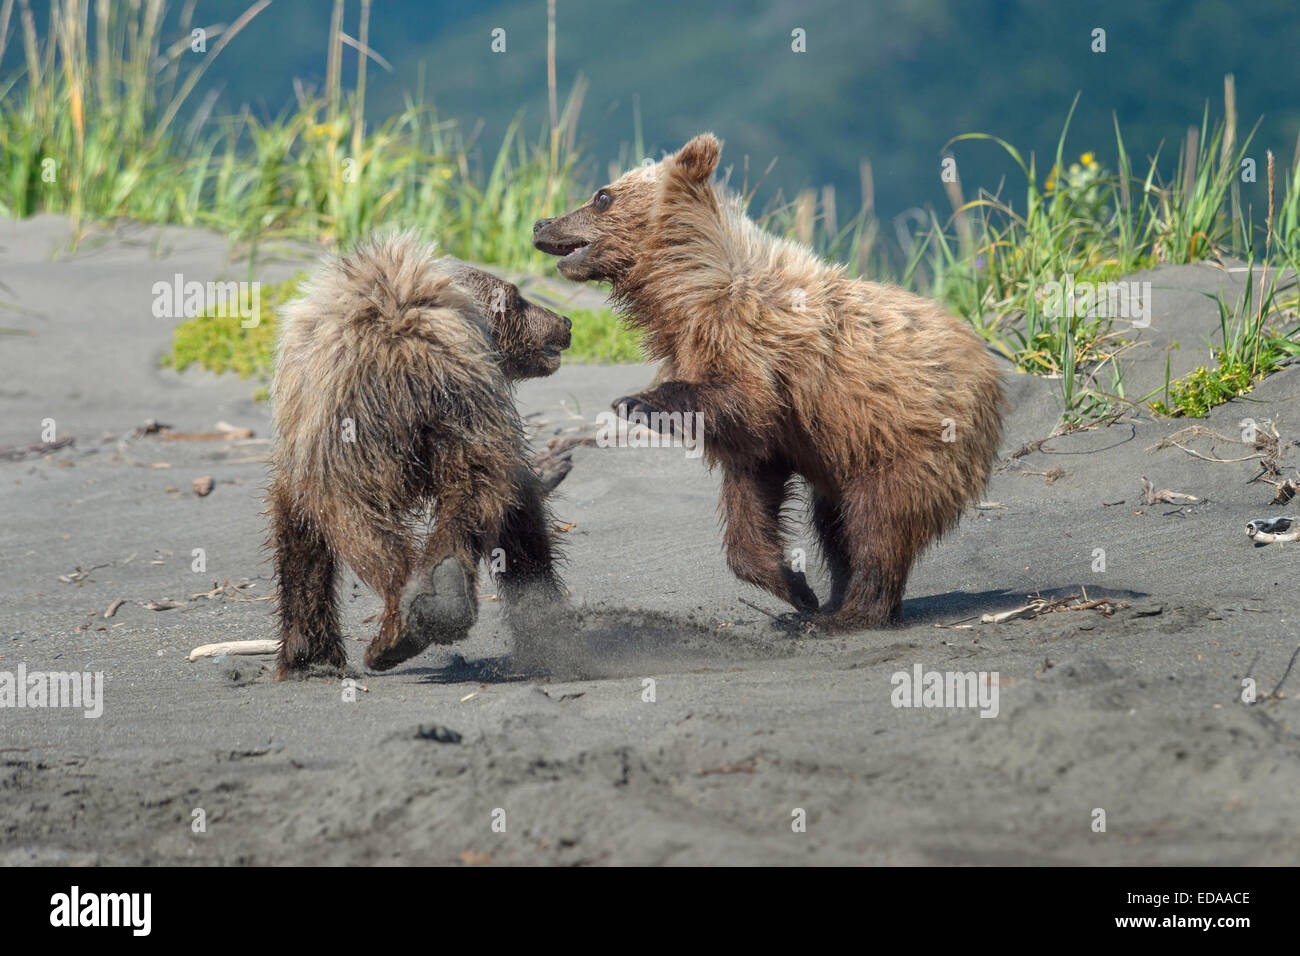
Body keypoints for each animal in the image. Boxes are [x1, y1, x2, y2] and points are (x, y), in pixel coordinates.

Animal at [269, 231, 572, 677]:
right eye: (516, 297)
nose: (565, 322)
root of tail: (406, 350)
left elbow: (299, 527)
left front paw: (307, 654)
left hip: (357, 449)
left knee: (364, 527)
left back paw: (399, 628)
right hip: (457, 425)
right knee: (465, 501)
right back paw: (440, 601)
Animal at [533, 134, 1005, 630]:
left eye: (602, 196)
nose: (541, 223)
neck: (686, 290)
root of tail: (990, 372)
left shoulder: (753, 343)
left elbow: (744, 399)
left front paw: (638, 402)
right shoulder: (759, 416)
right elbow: (752, 484)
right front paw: (794, 586)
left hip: (906, 437)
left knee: (878, 519)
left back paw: (851, 612)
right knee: (833, 521)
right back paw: (834, 600)